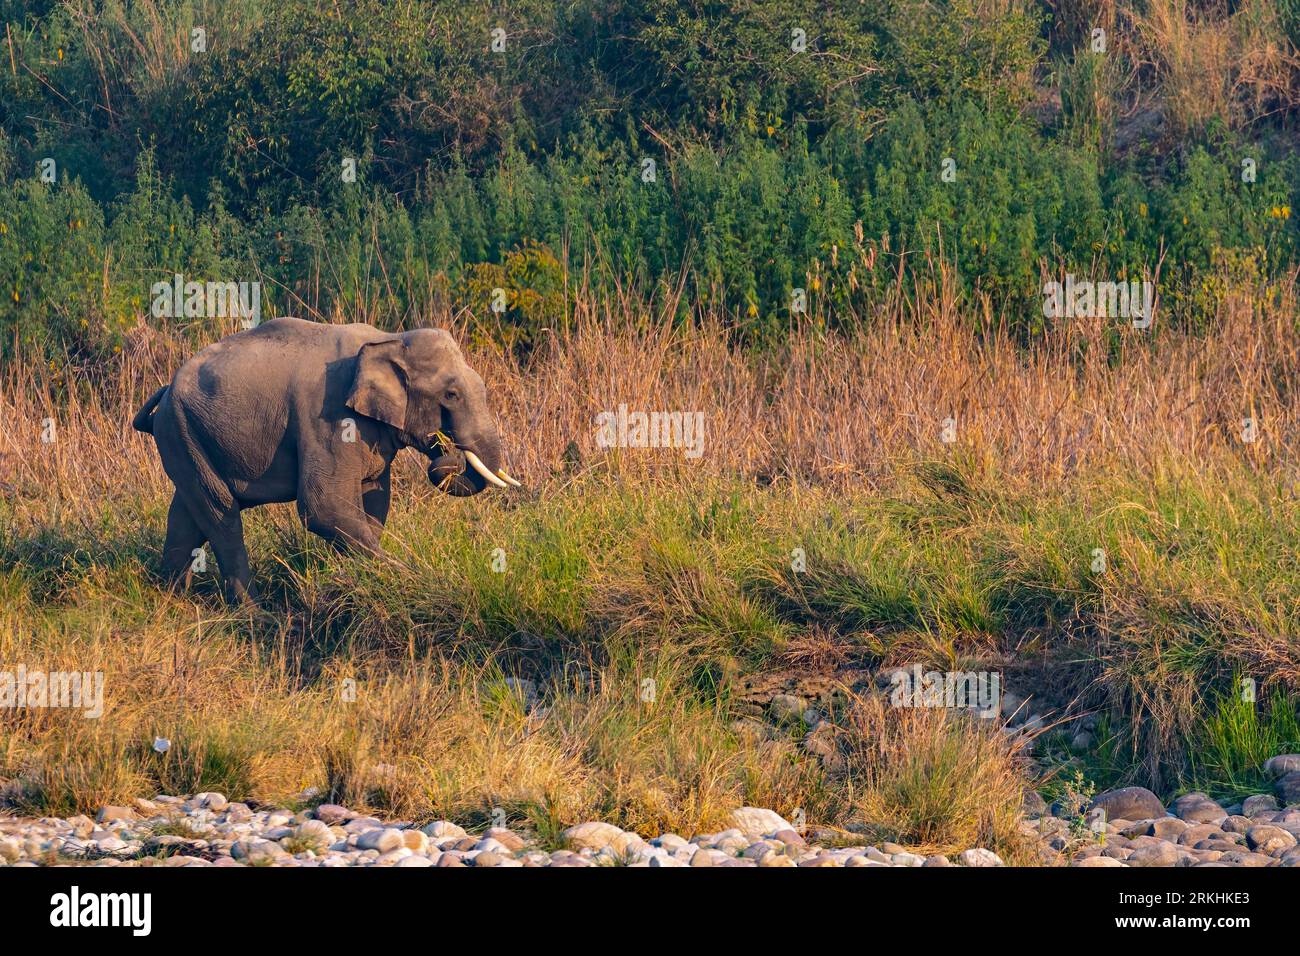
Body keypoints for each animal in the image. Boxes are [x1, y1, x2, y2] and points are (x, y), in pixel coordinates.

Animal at [132, 317, 520, 604]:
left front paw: (353, 576)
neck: (389, 339)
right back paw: (256, 614)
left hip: (187, 438)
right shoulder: (329, 421)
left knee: (188, 512)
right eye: (451, 395)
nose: (445, 451)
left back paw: (170, 598)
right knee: (221, 515)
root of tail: (165, 391)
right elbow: (322, 506)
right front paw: (408, 574)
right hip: (183, 432)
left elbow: (373, 501)